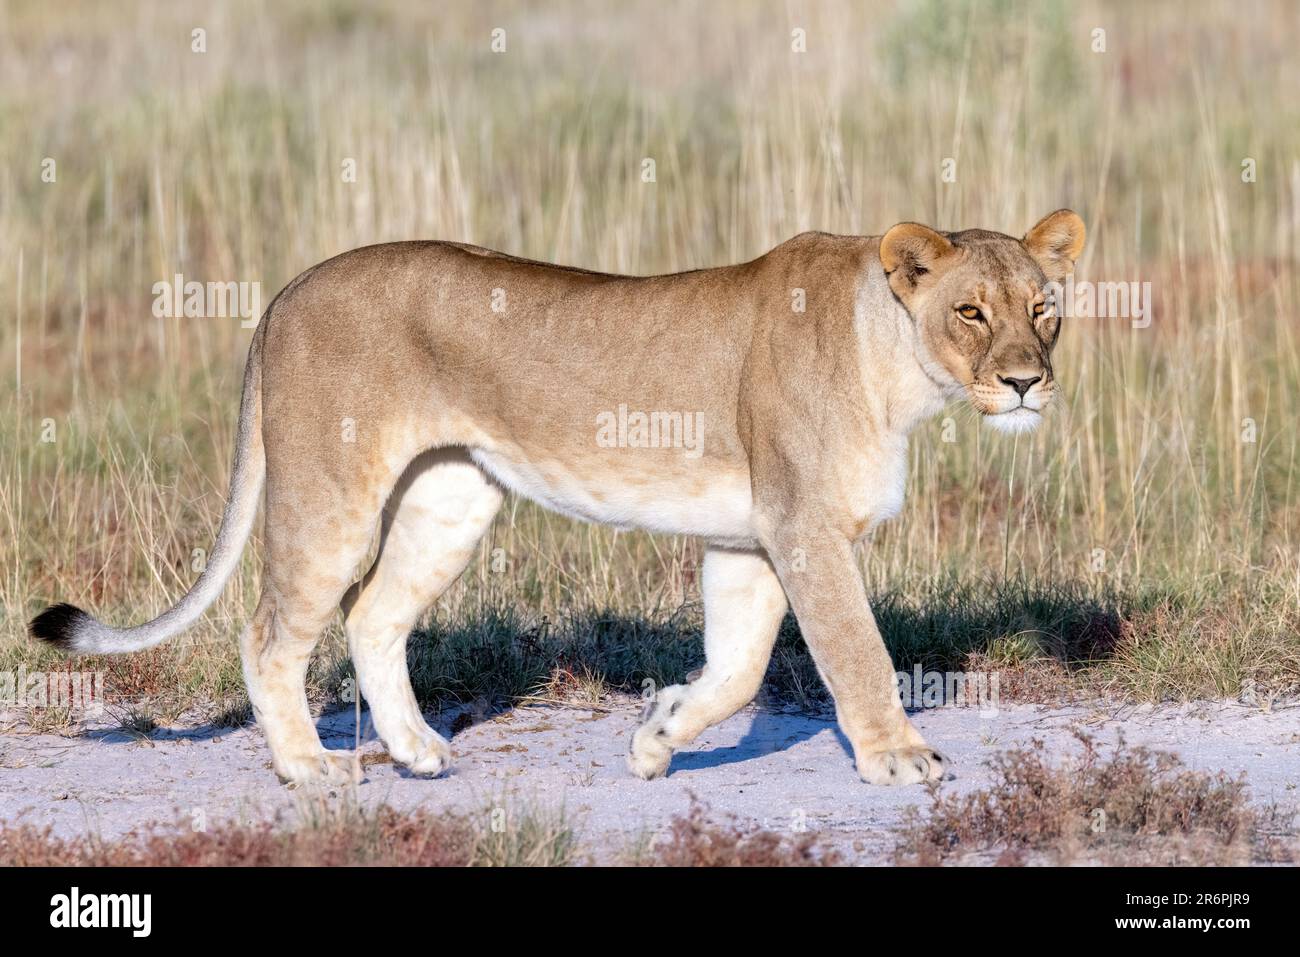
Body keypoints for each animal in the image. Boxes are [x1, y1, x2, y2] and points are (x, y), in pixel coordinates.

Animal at [32, 210, 1085, 787]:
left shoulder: (748, 541)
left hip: (451, 499)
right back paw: (308, 767)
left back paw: (416, 750)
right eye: (971, 311)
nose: (1028, 382)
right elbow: (857, 653)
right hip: (331, 494)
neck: (902, 369)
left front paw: (658, 739)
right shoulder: (804, 528)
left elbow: (739, 668)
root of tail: (285, 291)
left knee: (371, 613)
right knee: (270, 633)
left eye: (1043, 309)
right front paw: (899, 758)